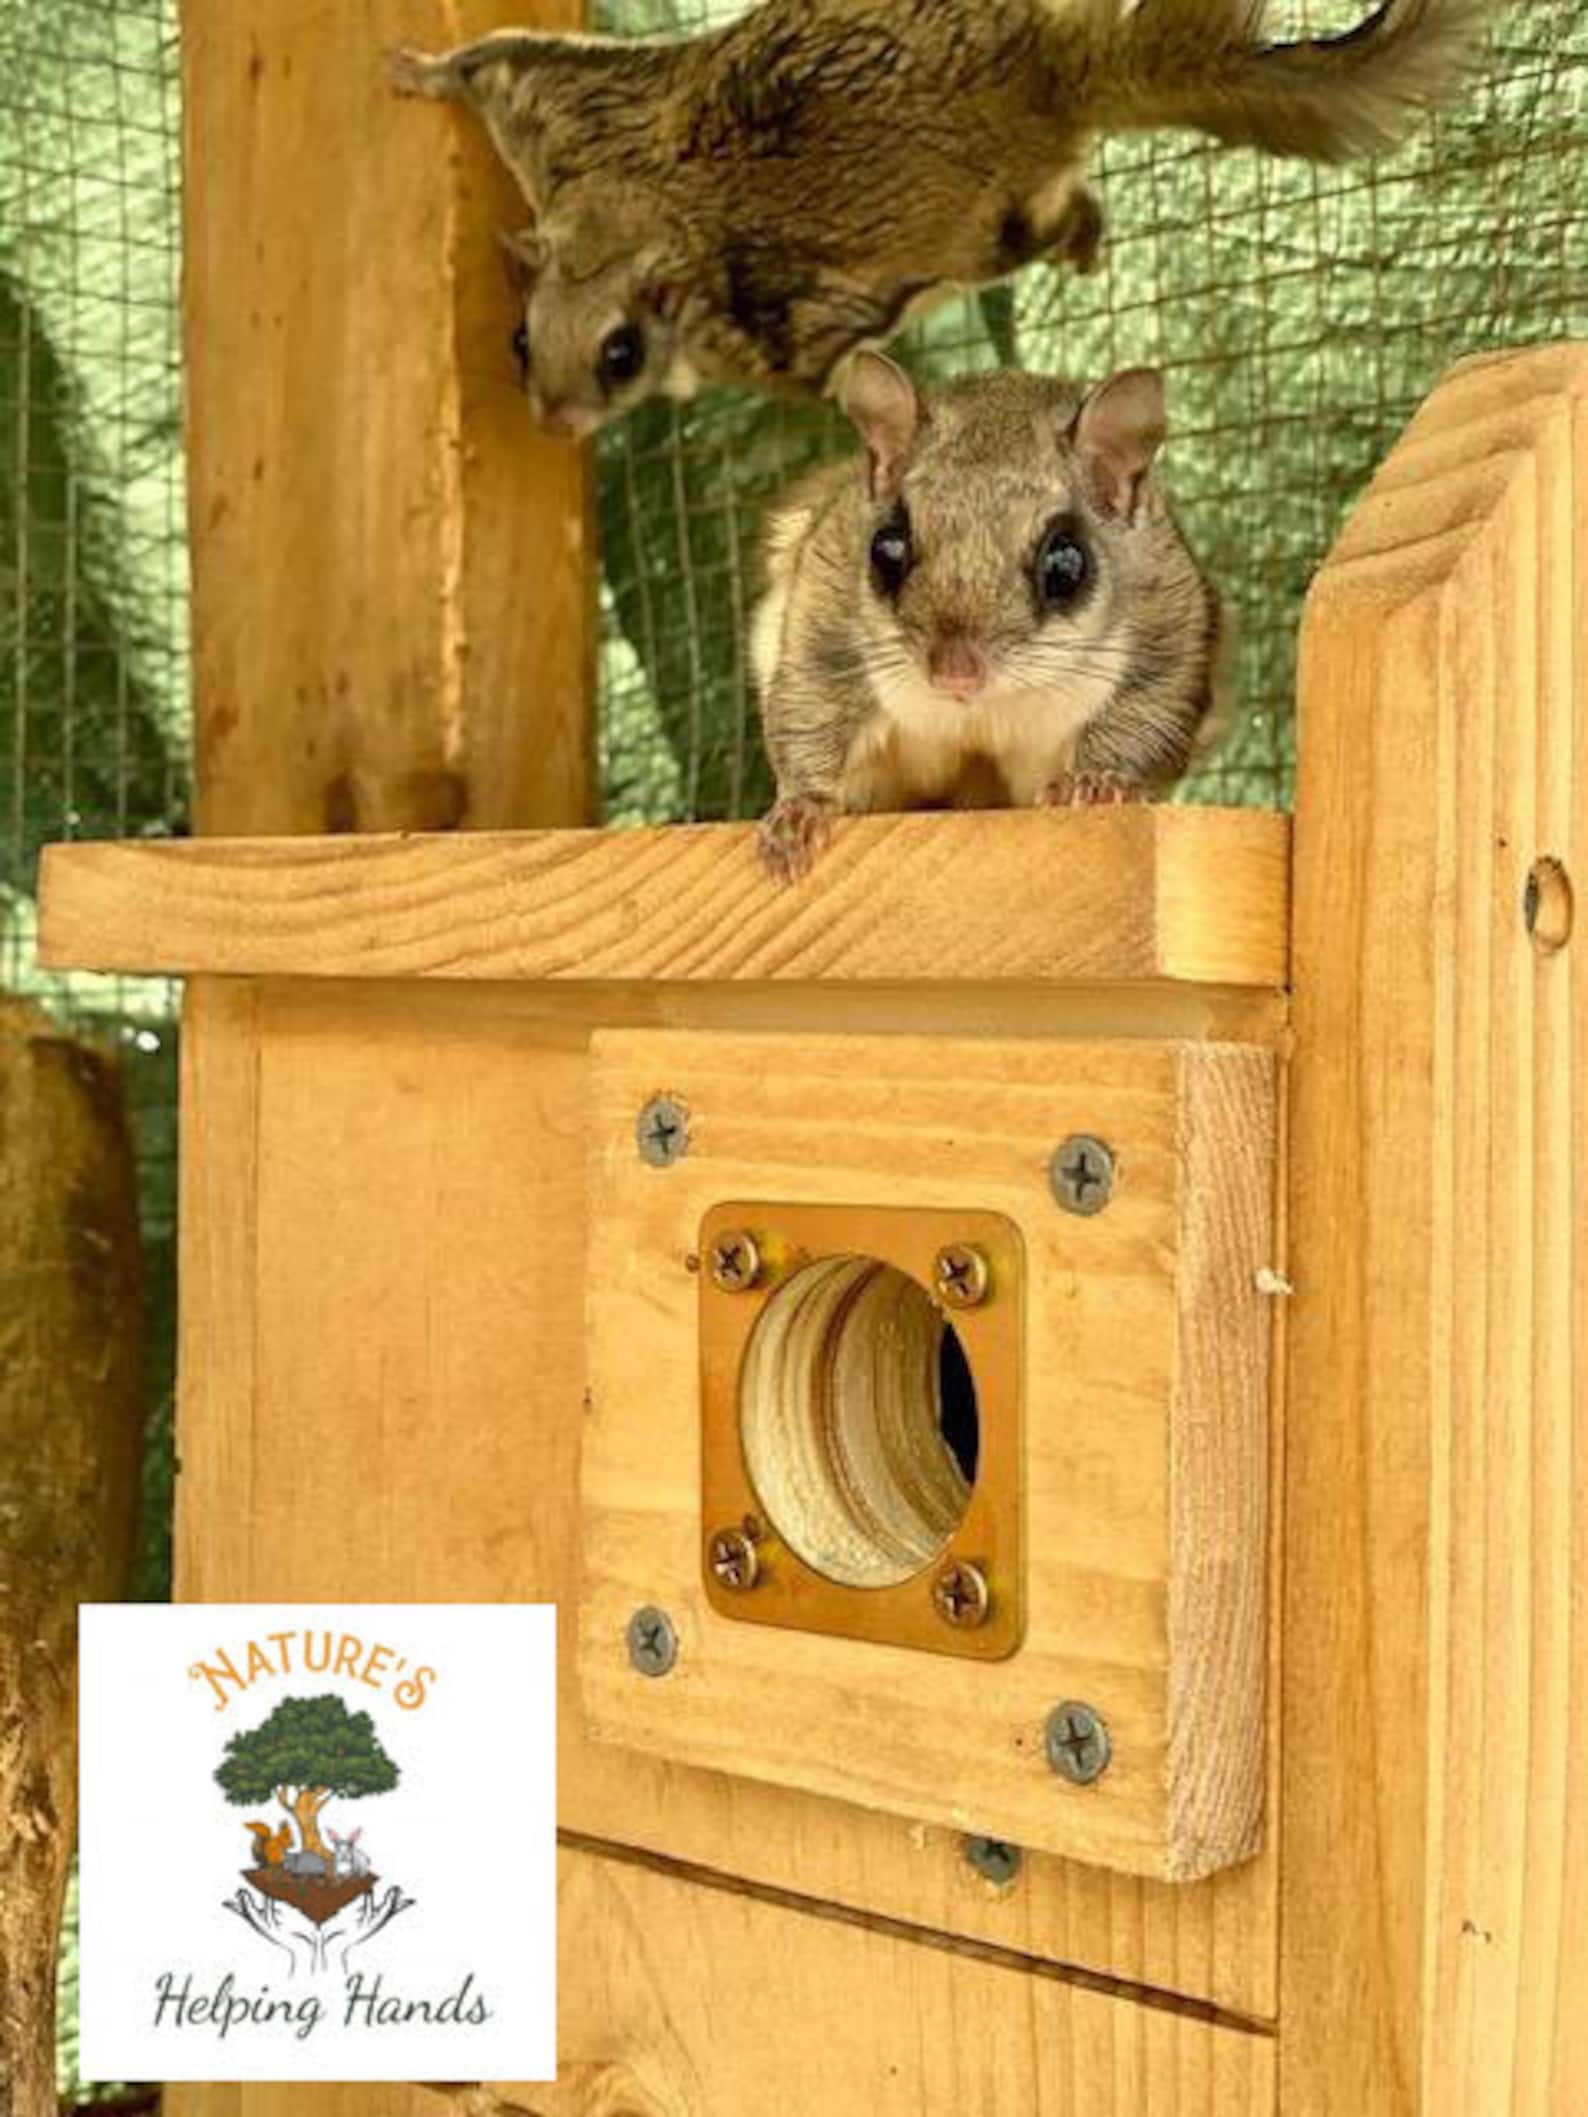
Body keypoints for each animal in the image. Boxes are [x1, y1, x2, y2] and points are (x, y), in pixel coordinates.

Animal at [390, 0, 1486, 435]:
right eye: (518, 339)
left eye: (620, 354)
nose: (556, 419)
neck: (638, 215)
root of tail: (1046, 83)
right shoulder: (565, 122)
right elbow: (490, 63)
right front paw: (420, 71)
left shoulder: (776, 333)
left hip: (988, 228)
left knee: (1046, 217)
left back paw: (1080, 238)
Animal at [750, 350, 1225, 881]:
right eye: (886, 549)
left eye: (1066, 564)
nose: (954, 672)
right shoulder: (825, 616)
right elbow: (809, 709)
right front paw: (802, 808)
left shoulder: (1166, 629)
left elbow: (1145, 718)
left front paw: (1099, 782)